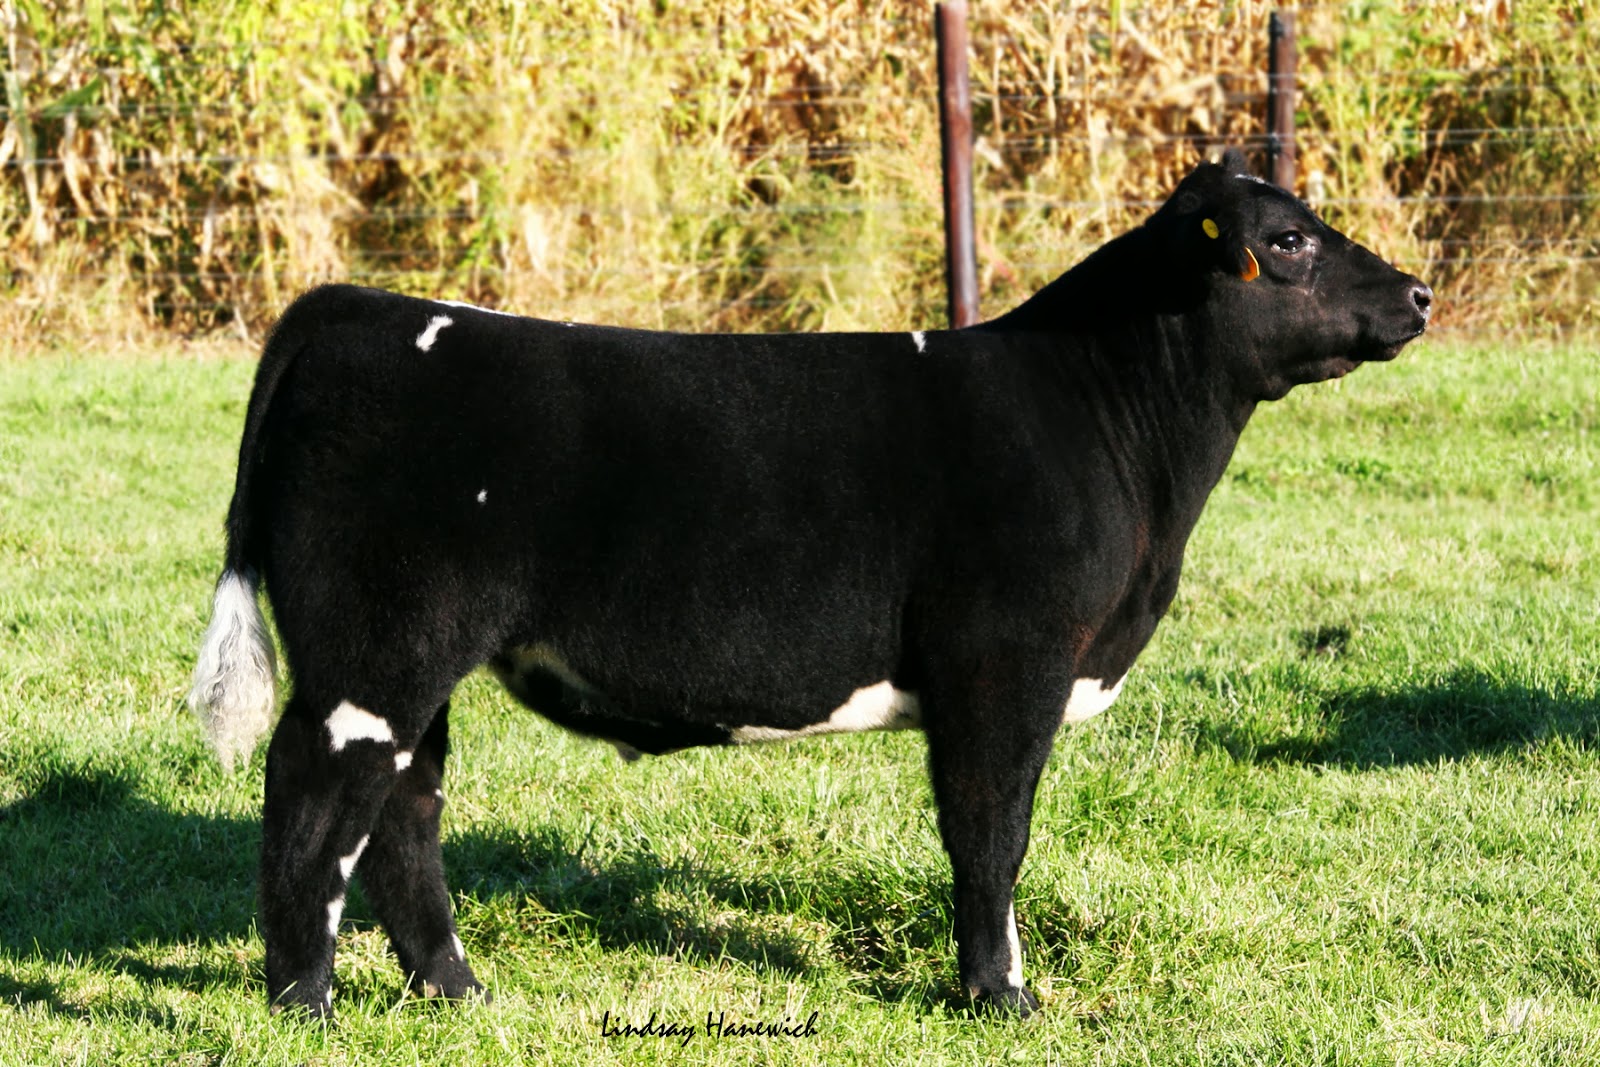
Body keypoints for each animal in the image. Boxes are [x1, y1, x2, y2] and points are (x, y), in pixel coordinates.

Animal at [187, 149, 1431, 1018]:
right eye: (1287, 238)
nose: (1418, 293)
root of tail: (360, 304)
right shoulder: (1004, 666)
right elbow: (991, 833)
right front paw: (1001, 993)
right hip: (372, 652)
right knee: (315, 801)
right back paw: (305, 1000)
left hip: (417, 662)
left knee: (405, 808)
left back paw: (456, 988)